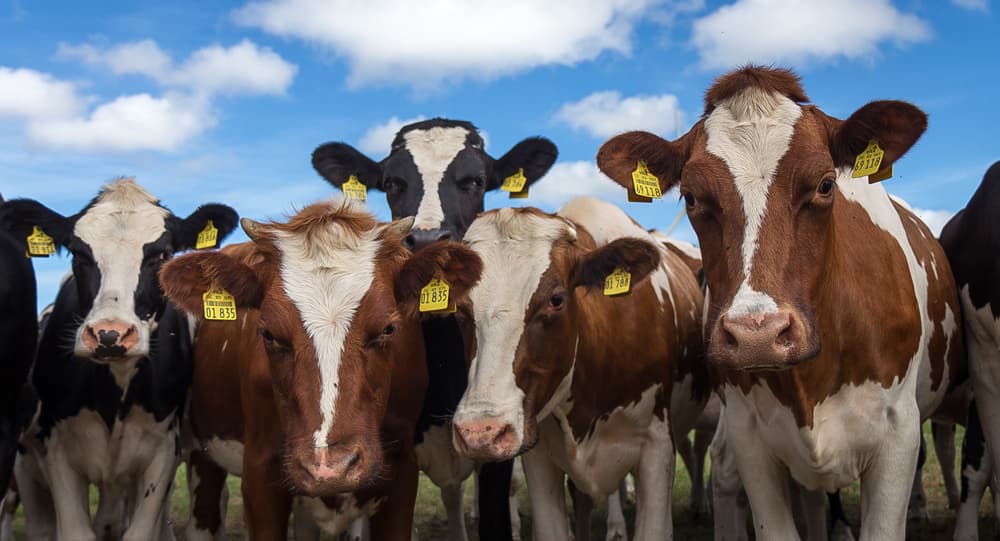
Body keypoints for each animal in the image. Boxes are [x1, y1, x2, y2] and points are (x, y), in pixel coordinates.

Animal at [0, 178, 238, 541]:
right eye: (79, 254)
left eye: (162, 254)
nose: (110, 334)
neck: (114, 396)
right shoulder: (55, 450)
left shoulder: (163, 451)